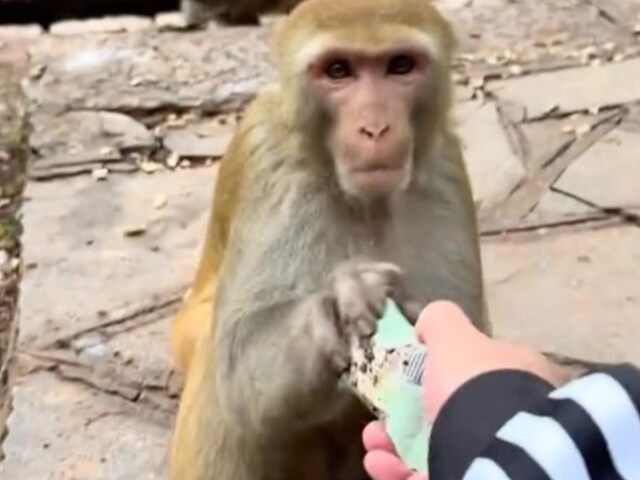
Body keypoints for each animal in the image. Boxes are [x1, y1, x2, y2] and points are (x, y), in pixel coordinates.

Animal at [169, 0, 491, 478]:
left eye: (400, 65)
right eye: (338, 70)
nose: (375, 128)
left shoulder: (444, 168)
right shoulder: (271, 161)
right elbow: (240, 361)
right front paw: (338, 310)